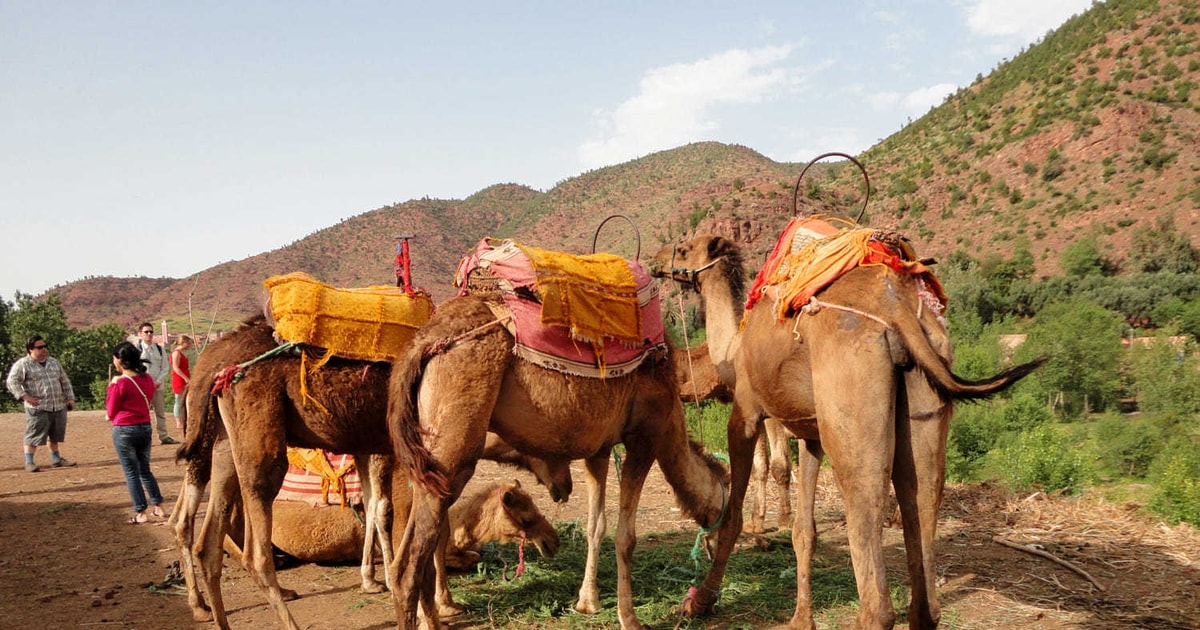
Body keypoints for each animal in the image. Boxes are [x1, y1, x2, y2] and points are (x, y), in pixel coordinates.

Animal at [387, 291, 730, 630]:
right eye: (727, 516)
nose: (716, 549)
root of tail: (424, 342)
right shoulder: (644, 437)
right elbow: (626, 537)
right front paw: (630, 619)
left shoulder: (599, 449)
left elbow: (596, 526)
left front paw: (588, 602)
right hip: (452, 451)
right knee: (410, 565)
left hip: (426, 458)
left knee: (409, 553)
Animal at [652, 234, 1042, 629]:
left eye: (683, 249)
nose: (656, 262)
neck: (732, 348)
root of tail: (896, 306)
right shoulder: (810, 433)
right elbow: (804, 531)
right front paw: (801, 619)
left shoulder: (747, 410)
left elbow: (736, 509)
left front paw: (701, 601)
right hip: (925, 393)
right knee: (921, 504)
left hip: (851, 394)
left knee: (870, 541)